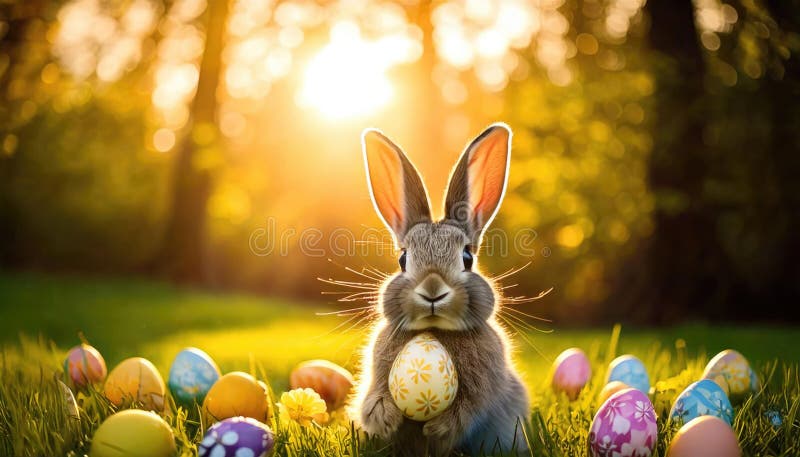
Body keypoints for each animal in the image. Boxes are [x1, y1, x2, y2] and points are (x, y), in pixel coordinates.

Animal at [349, 123, 530, 456]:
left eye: (467, 258)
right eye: (403, 259)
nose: (433, 290)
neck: (434, 331)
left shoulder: (483, 386)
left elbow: (470, 406)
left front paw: (439, 428)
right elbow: (377, 392)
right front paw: (384, 417)